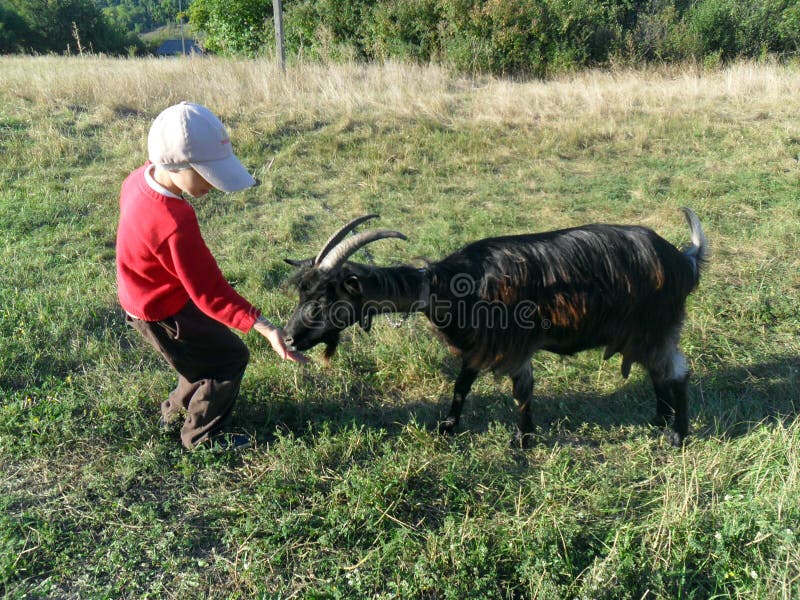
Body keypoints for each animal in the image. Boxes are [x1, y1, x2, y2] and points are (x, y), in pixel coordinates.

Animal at [283, 210, 708, 447]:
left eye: (324, 298)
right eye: (303, 292)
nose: (288, 337)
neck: (448, 286)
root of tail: (684, 260)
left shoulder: (514, 344)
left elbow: (522, 392)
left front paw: (523, 440)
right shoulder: (476, 345)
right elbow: (461, 385)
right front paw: (447, 427)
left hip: (657, 327)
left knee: (677, 373)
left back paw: (677, 434)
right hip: (643, 333)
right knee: (657, 372)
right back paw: (659, 418)